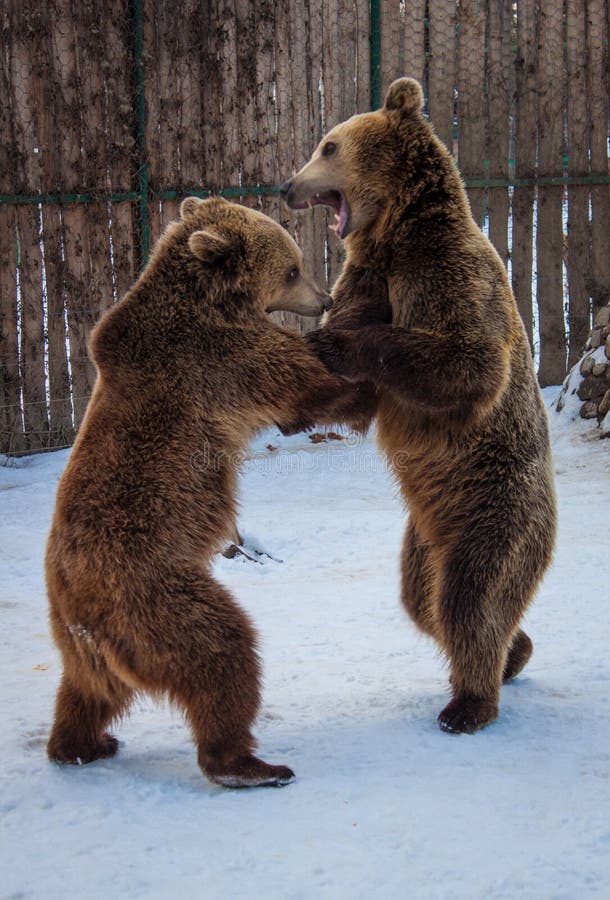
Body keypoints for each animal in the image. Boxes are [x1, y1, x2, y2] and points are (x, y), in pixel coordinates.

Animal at [45, 196, 377, 787]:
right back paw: (250, 764)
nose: (324, 298)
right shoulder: (226, 358)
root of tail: (81, 604)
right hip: (153, 592)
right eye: (292, 267)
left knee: (85, 691)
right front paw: (364, 383)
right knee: (220, 651)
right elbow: (307, 388)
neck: (212, 302)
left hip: (81, 640)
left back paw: (83, 745)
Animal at [280, 77, 557, 734]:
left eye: (328, 145)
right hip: (423, 535)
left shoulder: (447, 275)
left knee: (469, 598)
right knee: (420, 599)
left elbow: (466, 363)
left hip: (496, 505)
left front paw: (332, 342)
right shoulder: (369, 275)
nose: (286, 186)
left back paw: (469, 703)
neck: (396, 234)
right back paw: (515, 652)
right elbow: (357, 399)